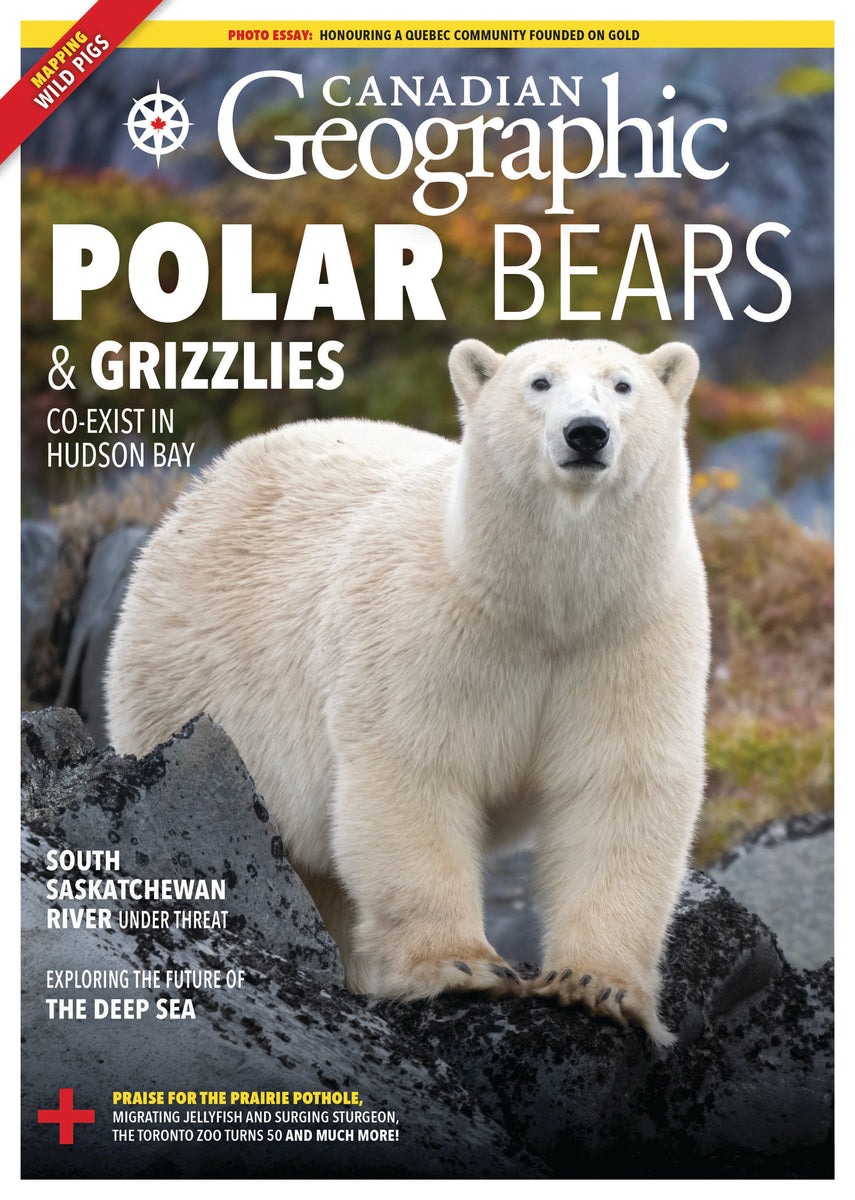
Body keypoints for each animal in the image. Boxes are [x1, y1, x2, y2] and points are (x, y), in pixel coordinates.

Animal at [105, 337, 710, 1045]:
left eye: (623, 385)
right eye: (538, 382)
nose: (585, 432)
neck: (544, 604)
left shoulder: (630, 632)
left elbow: (619, 783)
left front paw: (596, 987)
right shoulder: (424, 625)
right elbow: (413, 768)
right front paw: (460, 968)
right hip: (186, 677)